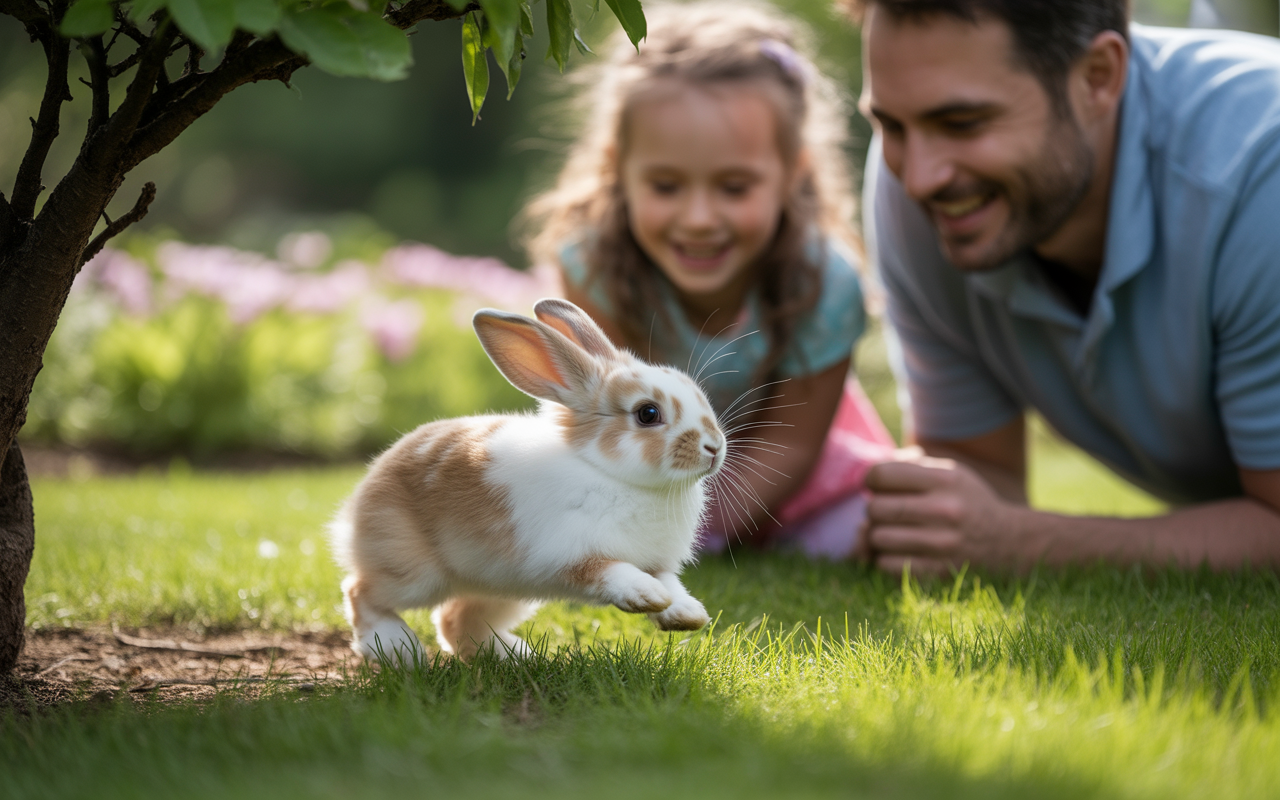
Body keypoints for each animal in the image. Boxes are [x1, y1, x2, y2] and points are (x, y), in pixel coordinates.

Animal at [329, 298, 726, 664]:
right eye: (648, 413)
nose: (715, 447)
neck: (606, 470)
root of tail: (364, 494)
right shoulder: (571, 554)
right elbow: (613, 572)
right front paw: (647, 596)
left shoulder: (657, 562)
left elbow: (669, 581)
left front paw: (687, 613)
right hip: (411, 571)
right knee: (360, 590)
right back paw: (397, 651)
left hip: (497, 590)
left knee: (456, 620)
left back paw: (516, 655)